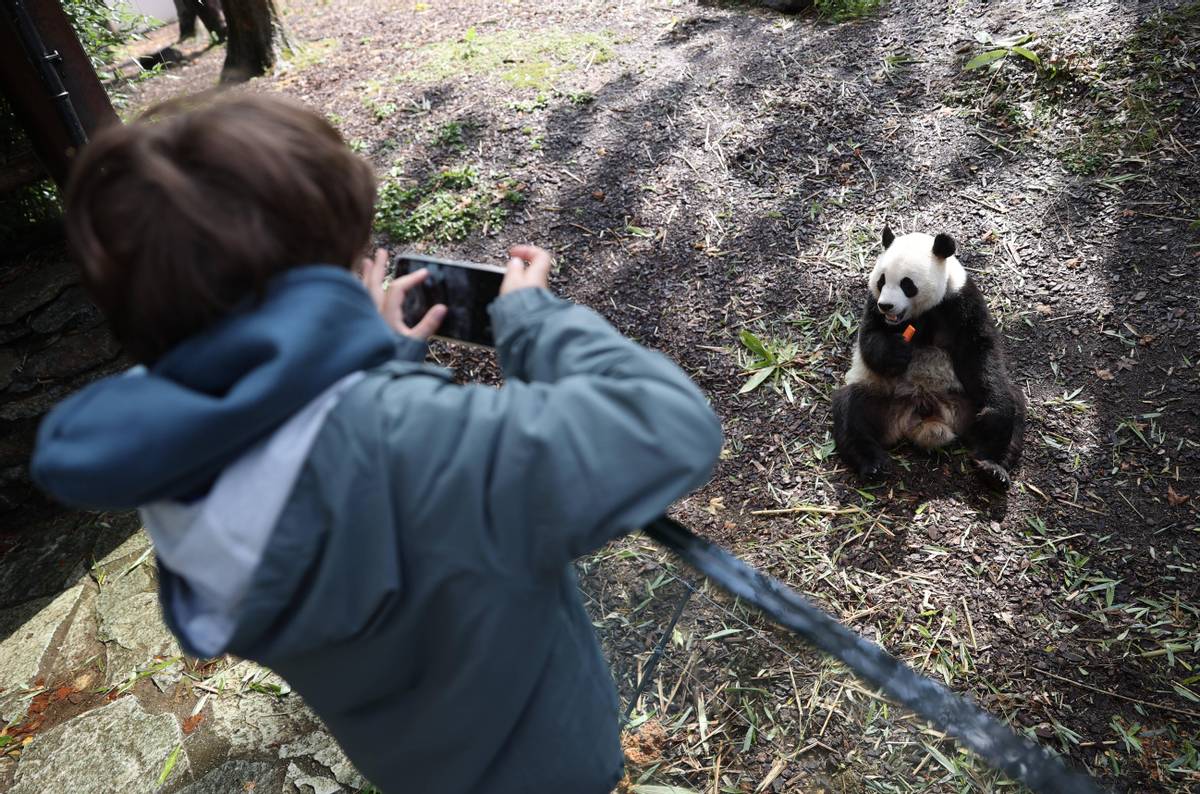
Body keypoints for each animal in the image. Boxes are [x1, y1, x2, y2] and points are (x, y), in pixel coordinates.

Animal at [831, 227, 1025, 489]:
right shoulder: (872, 303)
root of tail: (924, 415)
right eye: (882, 281)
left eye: (907, 284)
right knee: (851, 411)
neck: (919, 313)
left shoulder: (961, 300)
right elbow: (869, 339)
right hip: (881, 395)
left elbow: (980, 351)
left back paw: (993, 468)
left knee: (1012, 408)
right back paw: (873, 465)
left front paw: (993, 417)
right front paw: (897, 351)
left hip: (965, 401)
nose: (887, 306)